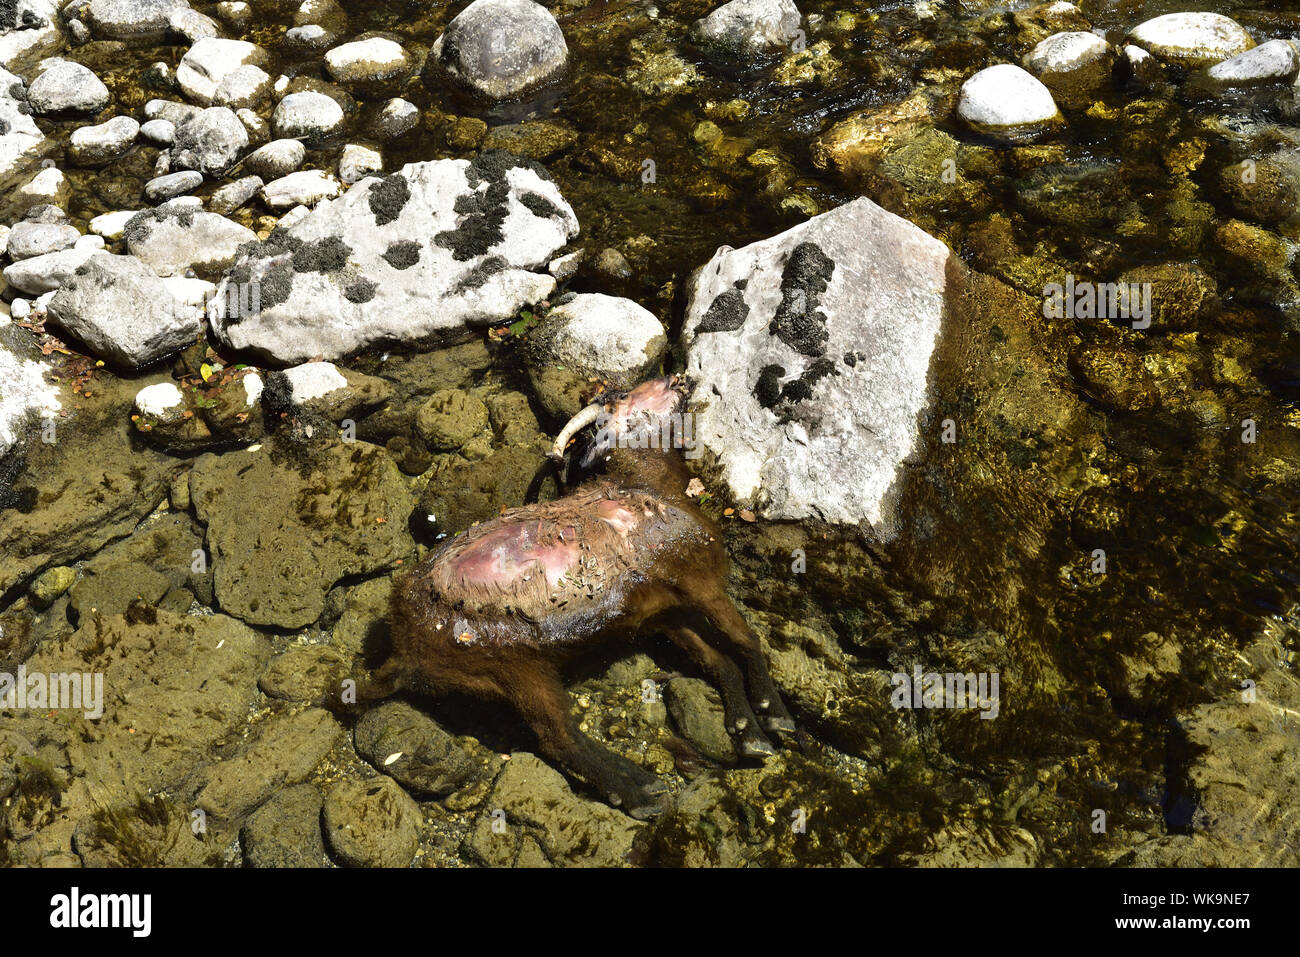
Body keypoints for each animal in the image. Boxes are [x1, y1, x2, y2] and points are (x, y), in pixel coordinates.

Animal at [378, 375, 795, 818]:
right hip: (514, 669)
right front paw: (774, 717)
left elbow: (717, 660)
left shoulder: (663, 613)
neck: (651, 489)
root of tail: (404, 651)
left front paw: (747, 731)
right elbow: (744, 640)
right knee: (559, 738)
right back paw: (640, 790)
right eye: (623, 396)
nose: (676, 377)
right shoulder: (700, 582)